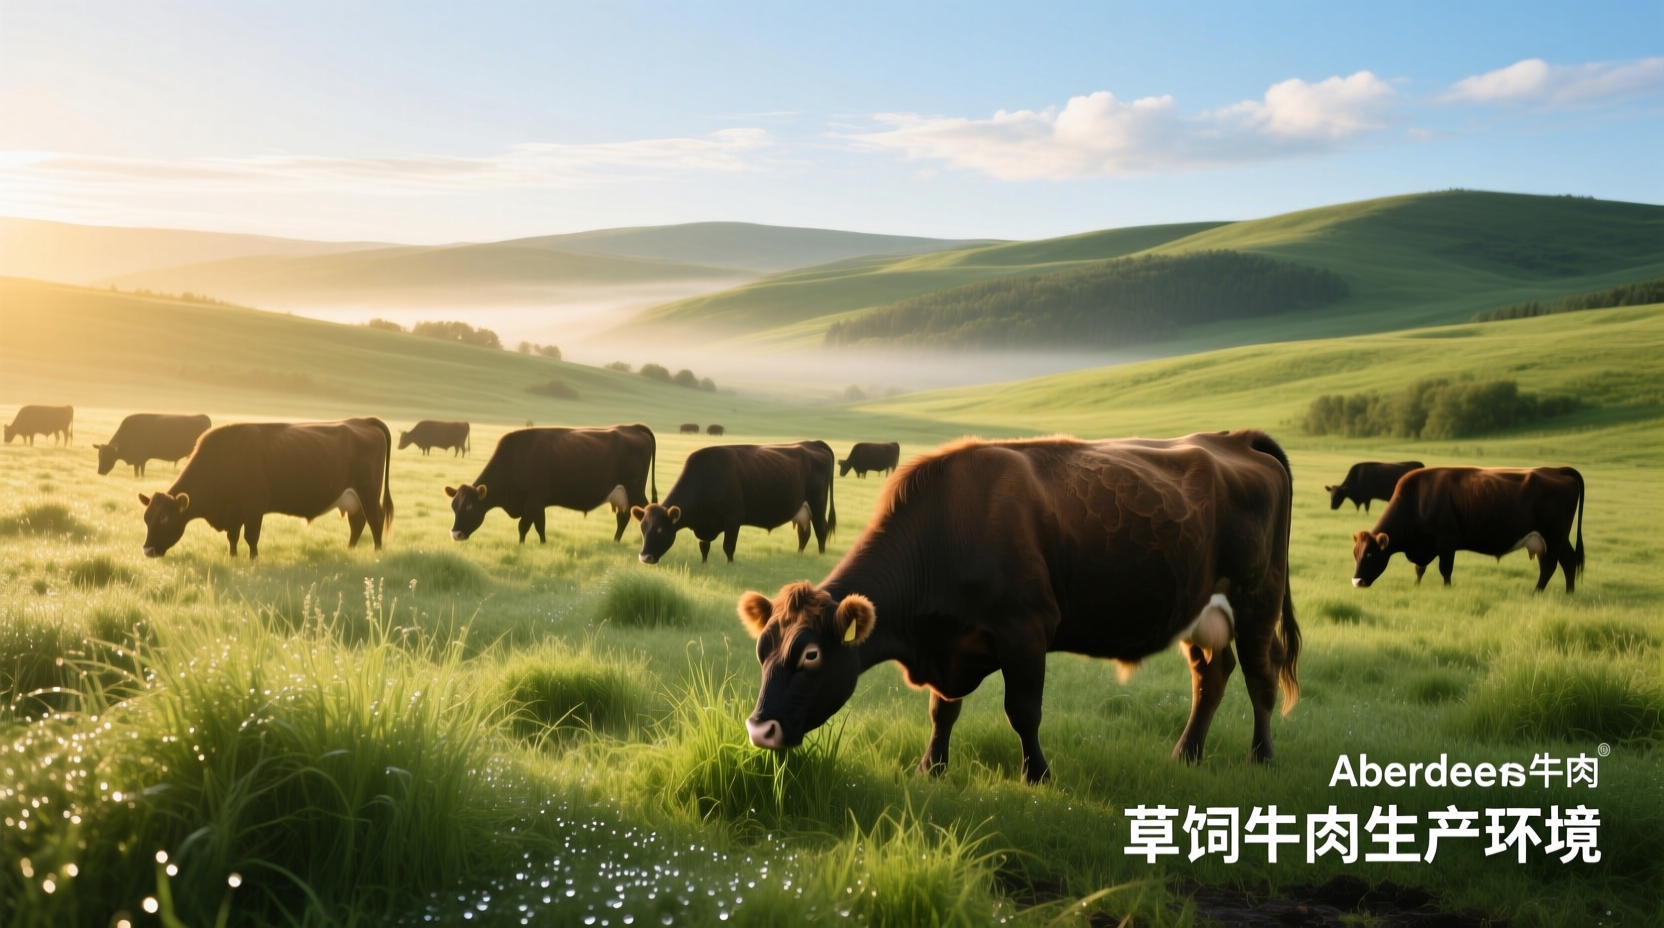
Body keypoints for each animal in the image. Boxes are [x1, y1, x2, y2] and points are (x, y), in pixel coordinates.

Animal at [137, 418, 394, 559]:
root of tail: (362, 421)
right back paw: (350, 549)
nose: (147, 550)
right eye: (146, 518)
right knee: (357, 522)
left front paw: (253, 560)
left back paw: (377, 551)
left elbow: (251, 537)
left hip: (369, 493)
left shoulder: (253, 507)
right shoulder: (234, 511)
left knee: (375, 519)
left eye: (165, 518)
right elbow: (233, 537)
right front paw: (233, 557)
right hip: (353, 498)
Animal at [446, 424, 657, 545]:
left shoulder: (534, 496)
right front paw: (543, 544)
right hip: (622, 495)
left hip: (635, 490)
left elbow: (524, 525)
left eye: (470, 506)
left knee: (647, 512)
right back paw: (615, 542)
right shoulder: (538, 501)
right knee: (623, 517)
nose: (455, 534)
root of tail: (632, 427)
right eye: (453, 506)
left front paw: (521, 547)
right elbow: (540, 525)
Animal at [634, 441, 836, 564]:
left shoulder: (733, 519)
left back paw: (821, 555)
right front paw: (704, 563)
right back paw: (799, 555)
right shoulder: (704, 525)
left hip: (818, 505)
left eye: (661, 529)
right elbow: (704, 547)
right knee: (804, 534)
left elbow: (728, 547)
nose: (644, 557)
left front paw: (730, 565)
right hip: (802, 510)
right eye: (642, 529)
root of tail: (811, 444)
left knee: (821, 529)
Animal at [735, 430, 1301, 783]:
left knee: (1260, 675)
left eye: (810, 655)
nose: (760, 729)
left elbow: (1023, 711)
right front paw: (931, 767)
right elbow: (943, 710)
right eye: (761, 650)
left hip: (1258, 599)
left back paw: (1262, 758)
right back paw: (1186, 753)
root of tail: (1233, 438)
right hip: (1202, 611)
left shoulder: (1025, 632)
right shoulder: (951, 643)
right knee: (1211, 676)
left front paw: (1037, 774)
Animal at [1351, 466, 1585, 592]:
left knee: (1549, 566)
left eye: (1370, 555)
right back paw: (1570, 593)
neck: (1417, 498)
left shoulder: (1446, 540)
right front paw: (1416, 586)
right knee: (1569, 560)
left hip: (1553, 536)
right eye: (1355, 554)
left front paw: (1447, 589)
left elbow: (1445, 569)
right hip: (1556, 539)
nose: (1356, 581)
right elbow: (1419, 569)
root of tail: (1556, 470)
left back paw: (1536, 593)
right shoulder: (1426, 545)